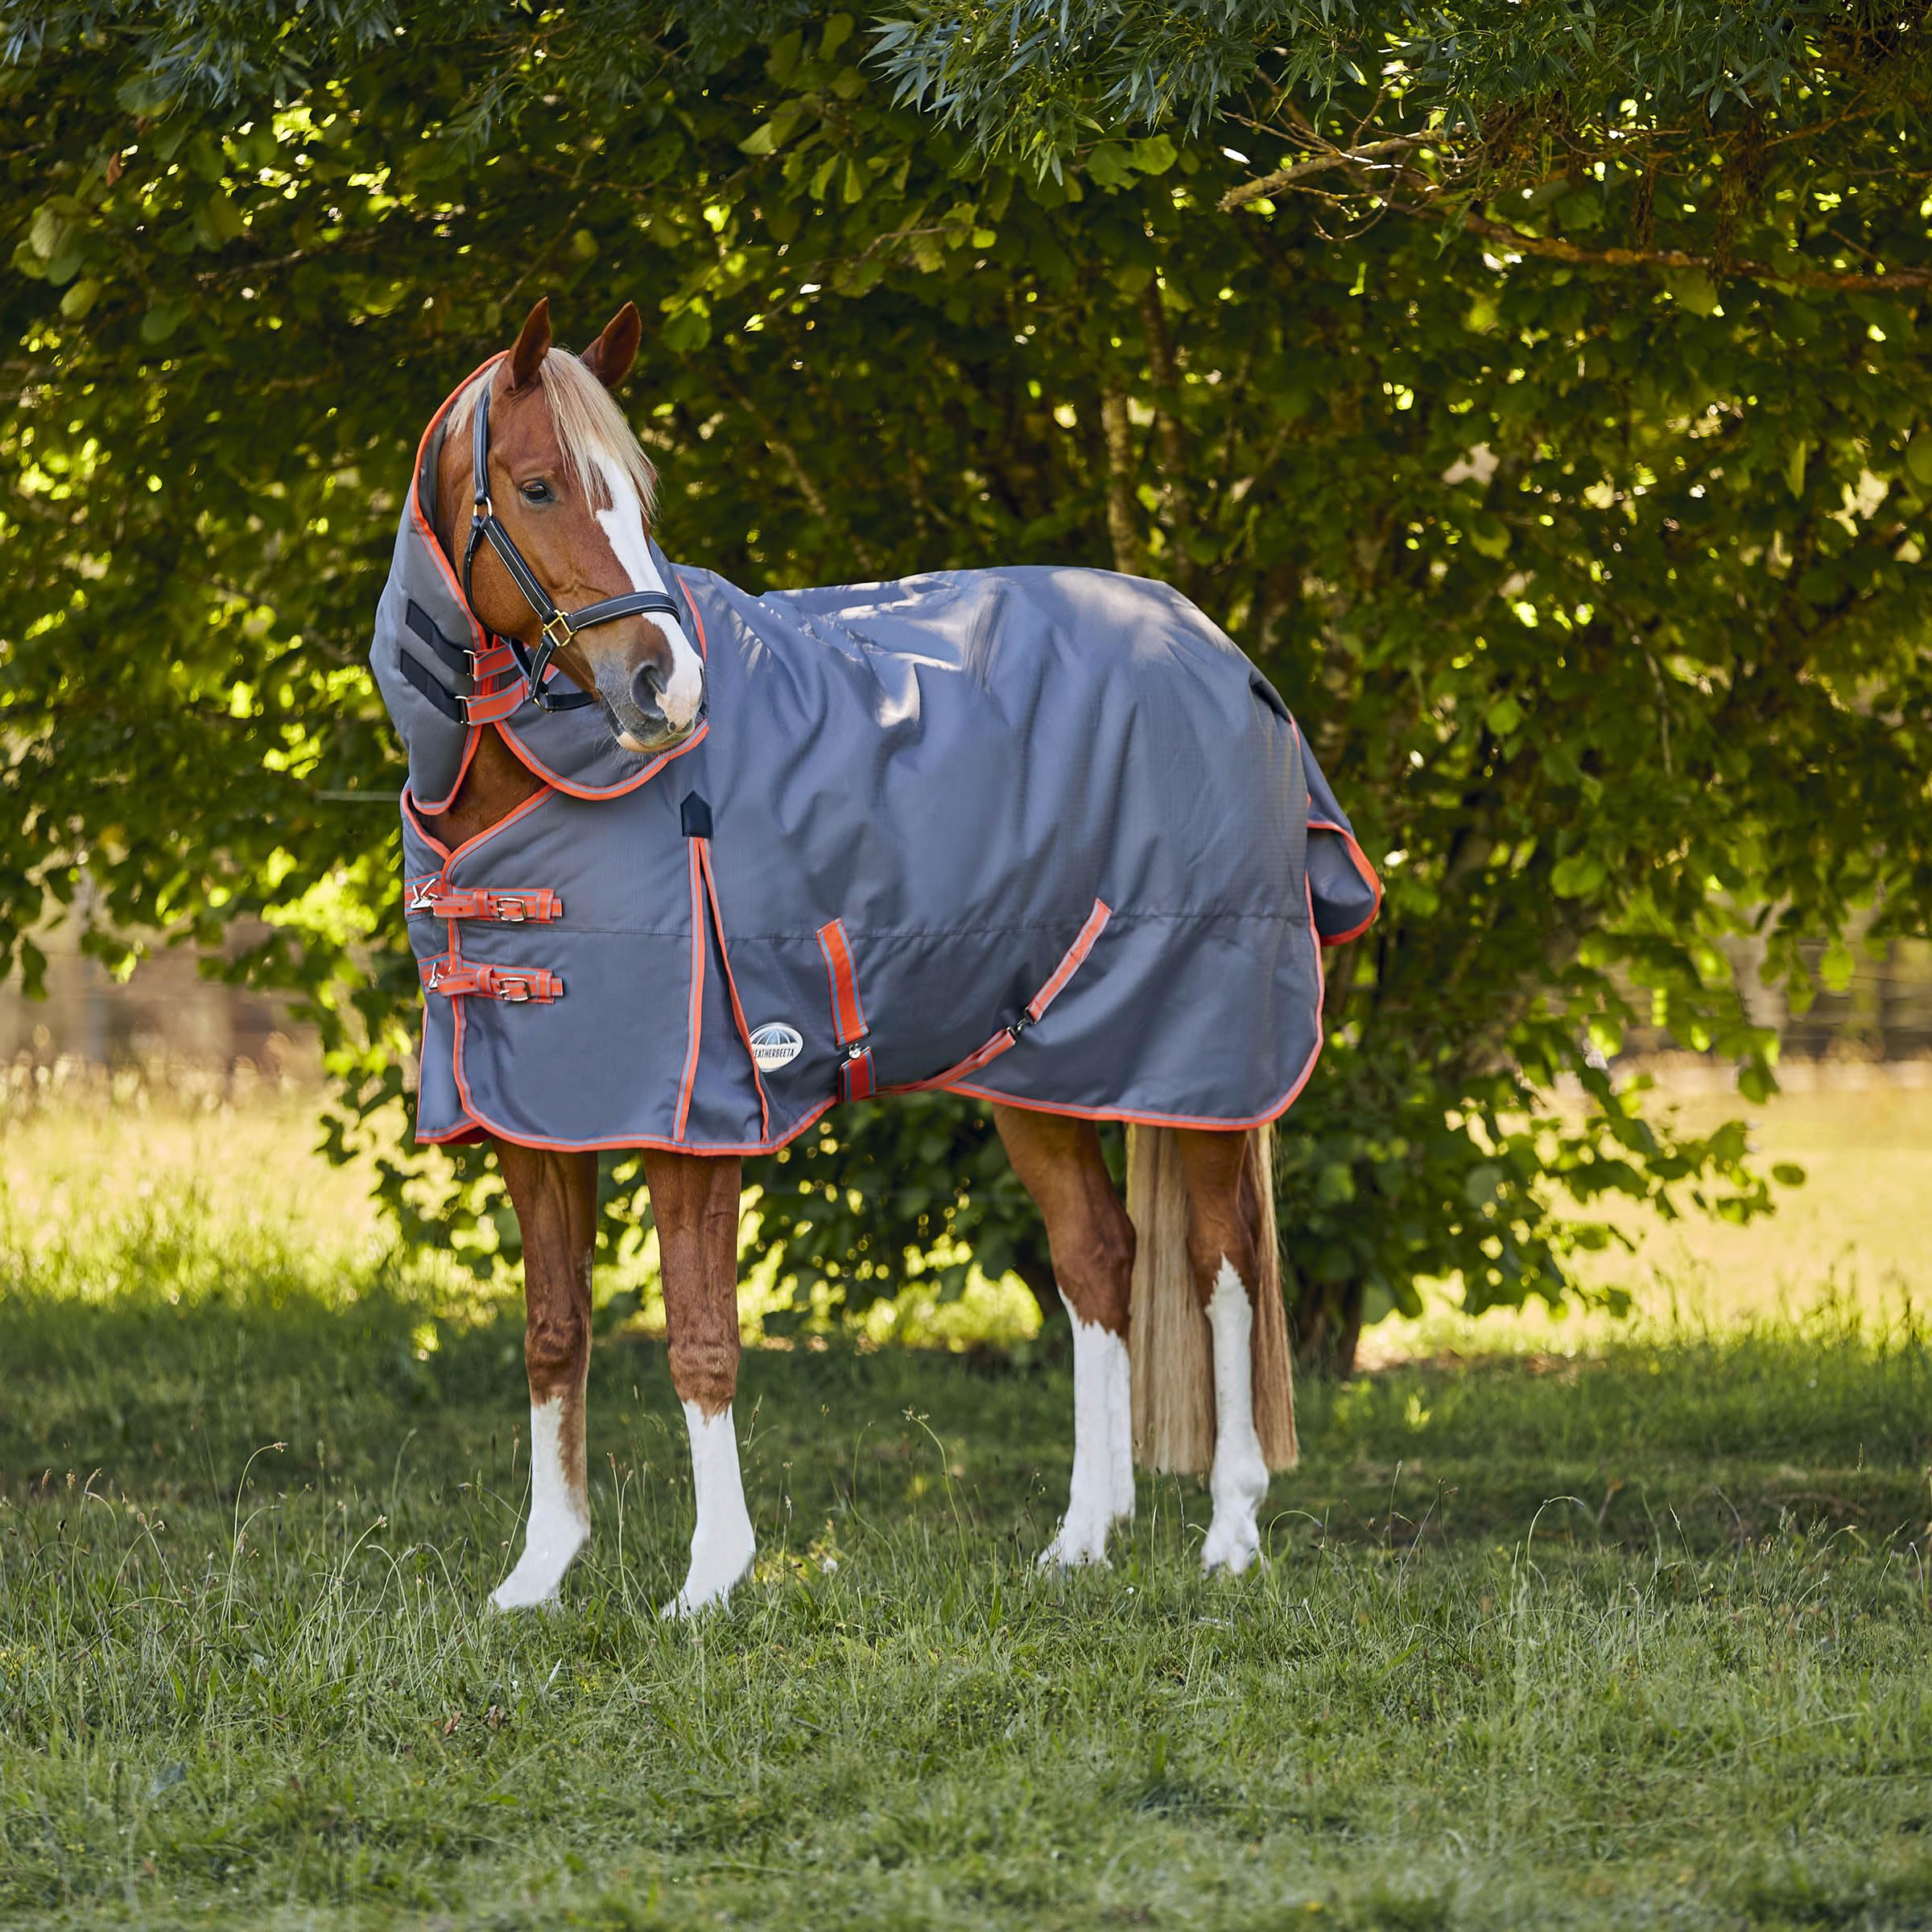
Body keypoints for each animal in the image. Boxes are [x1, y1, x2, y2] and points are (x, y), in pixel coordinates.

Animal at [423, 301, 1298, 1623]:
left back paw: (1232, 1532)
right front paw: (538, 1574)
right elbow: (554, 1332)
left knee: (1221, 1264)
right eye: (537, 487)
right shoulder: (535, 1118)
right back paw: (1082, 1539)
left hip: (1199, 1064)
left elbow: (701, 1336)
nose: (666, 687)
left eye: (641, 493)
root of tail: (1207, 646)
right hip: (1038, 1065)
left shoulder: (695, 1117)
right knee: (1098, 1258)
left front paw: (711, 1581)